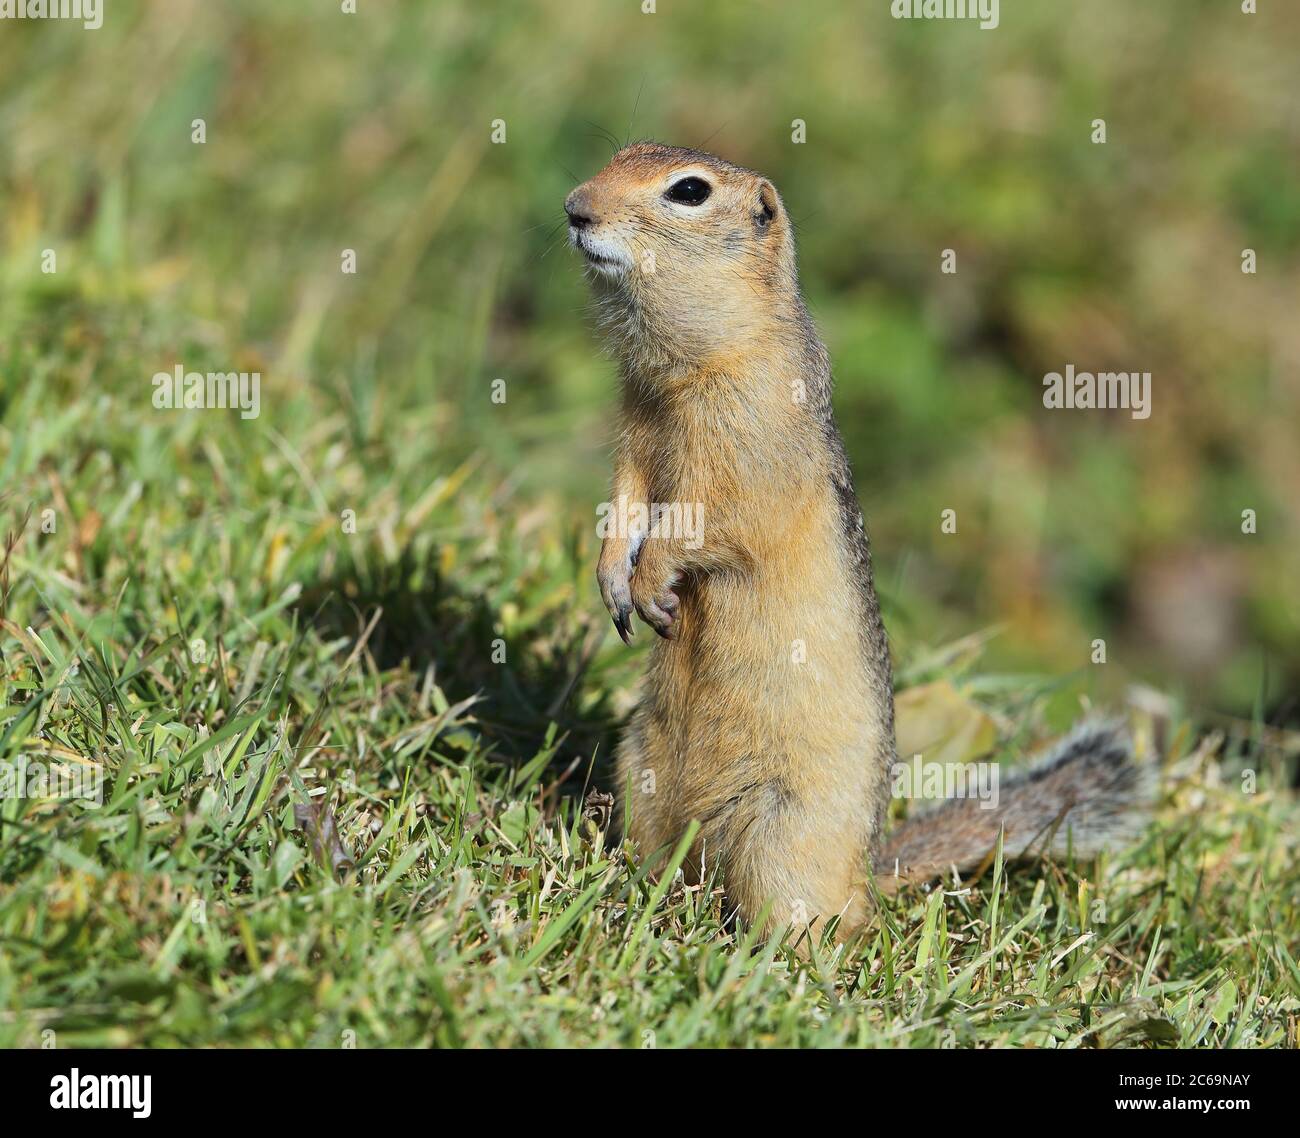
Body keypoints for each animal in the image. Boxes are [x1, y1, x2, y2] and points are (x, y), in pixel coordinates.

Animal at [565, 142, 1152, 941]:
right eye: (618, 154)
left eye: (688, 192)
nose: (575, 208)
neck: (690, 367)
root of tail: (869, 876)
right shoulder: (634, 432)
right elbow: (624, 504)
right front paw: (611, 578)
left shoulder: (744, 457)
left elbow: (710, 523)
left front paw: (652, 581)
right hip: (641, 769)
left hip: (783, 834)